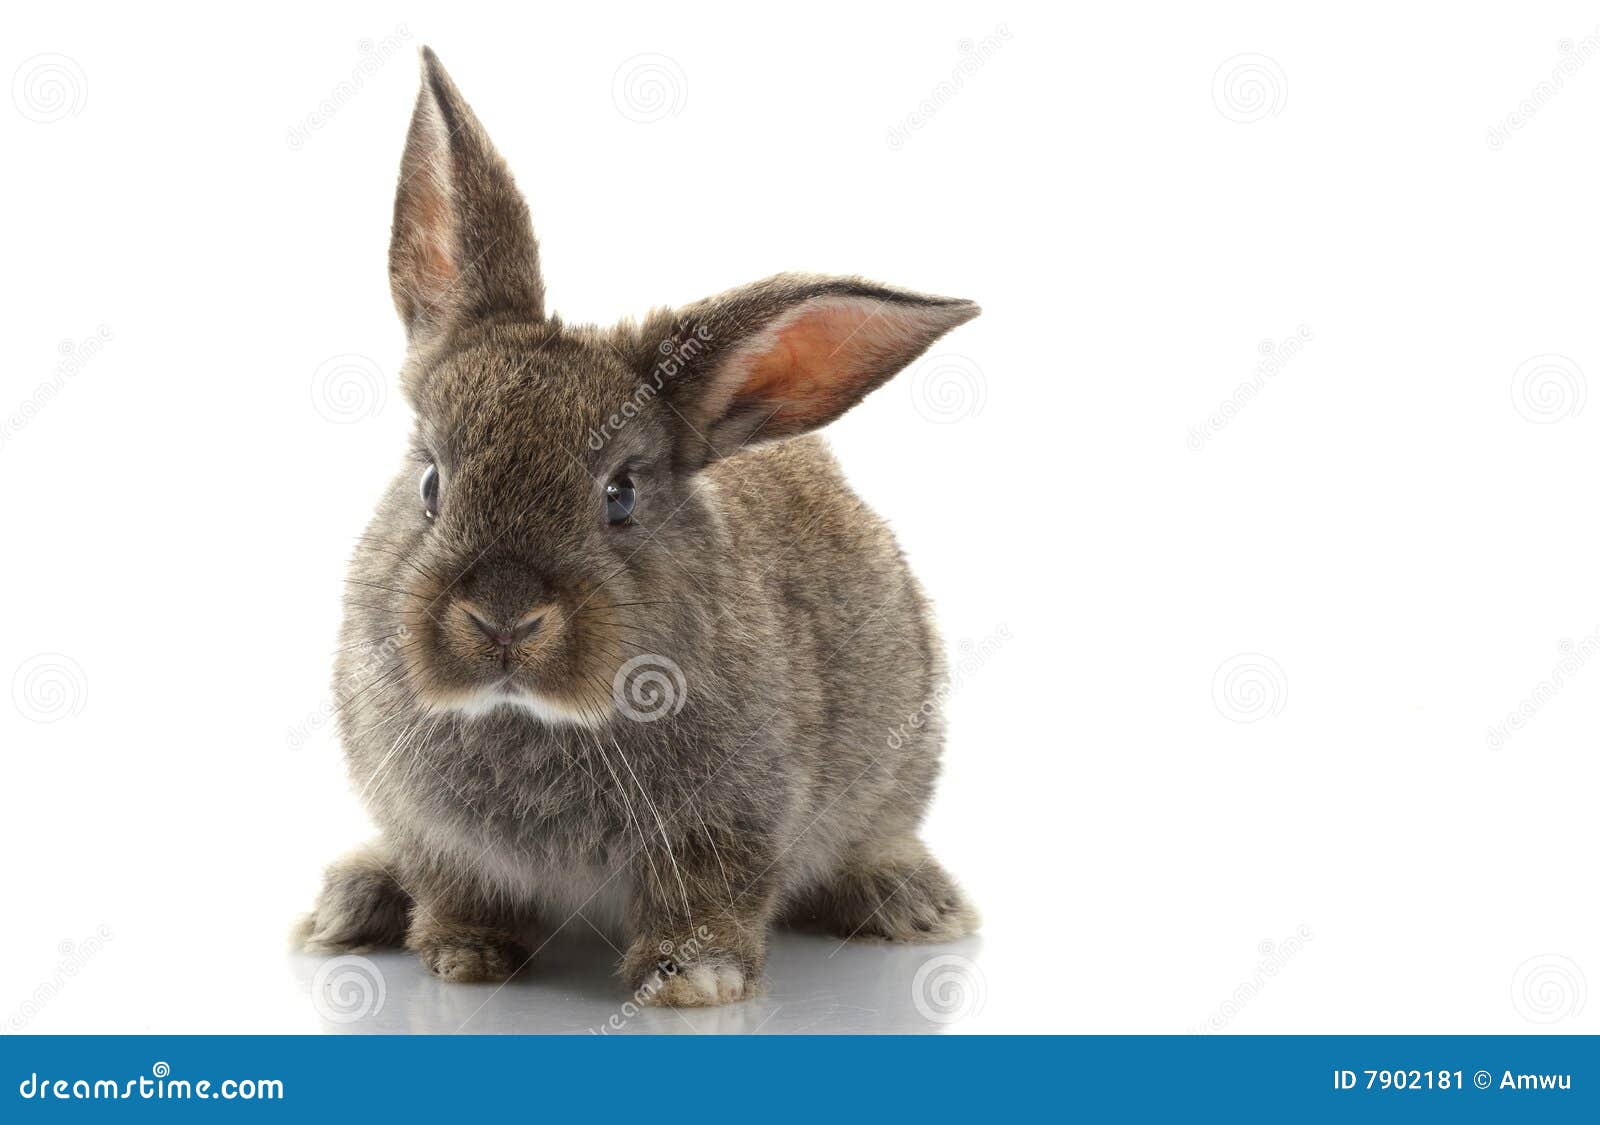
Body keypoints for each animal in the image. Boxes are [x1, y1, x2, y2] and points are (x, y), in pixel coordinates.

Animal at [299, 47, 981, 1007]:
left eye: (620, 494)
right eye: (431, 481)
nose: (502, 617)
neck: (538, 718)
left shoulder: (731, 826)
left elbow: (707, 896)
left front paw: (692, 982)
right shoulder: (433, 832)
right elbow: (458, 891)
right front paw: (464, 957)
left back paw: (911, 899)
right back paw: (352, 901)